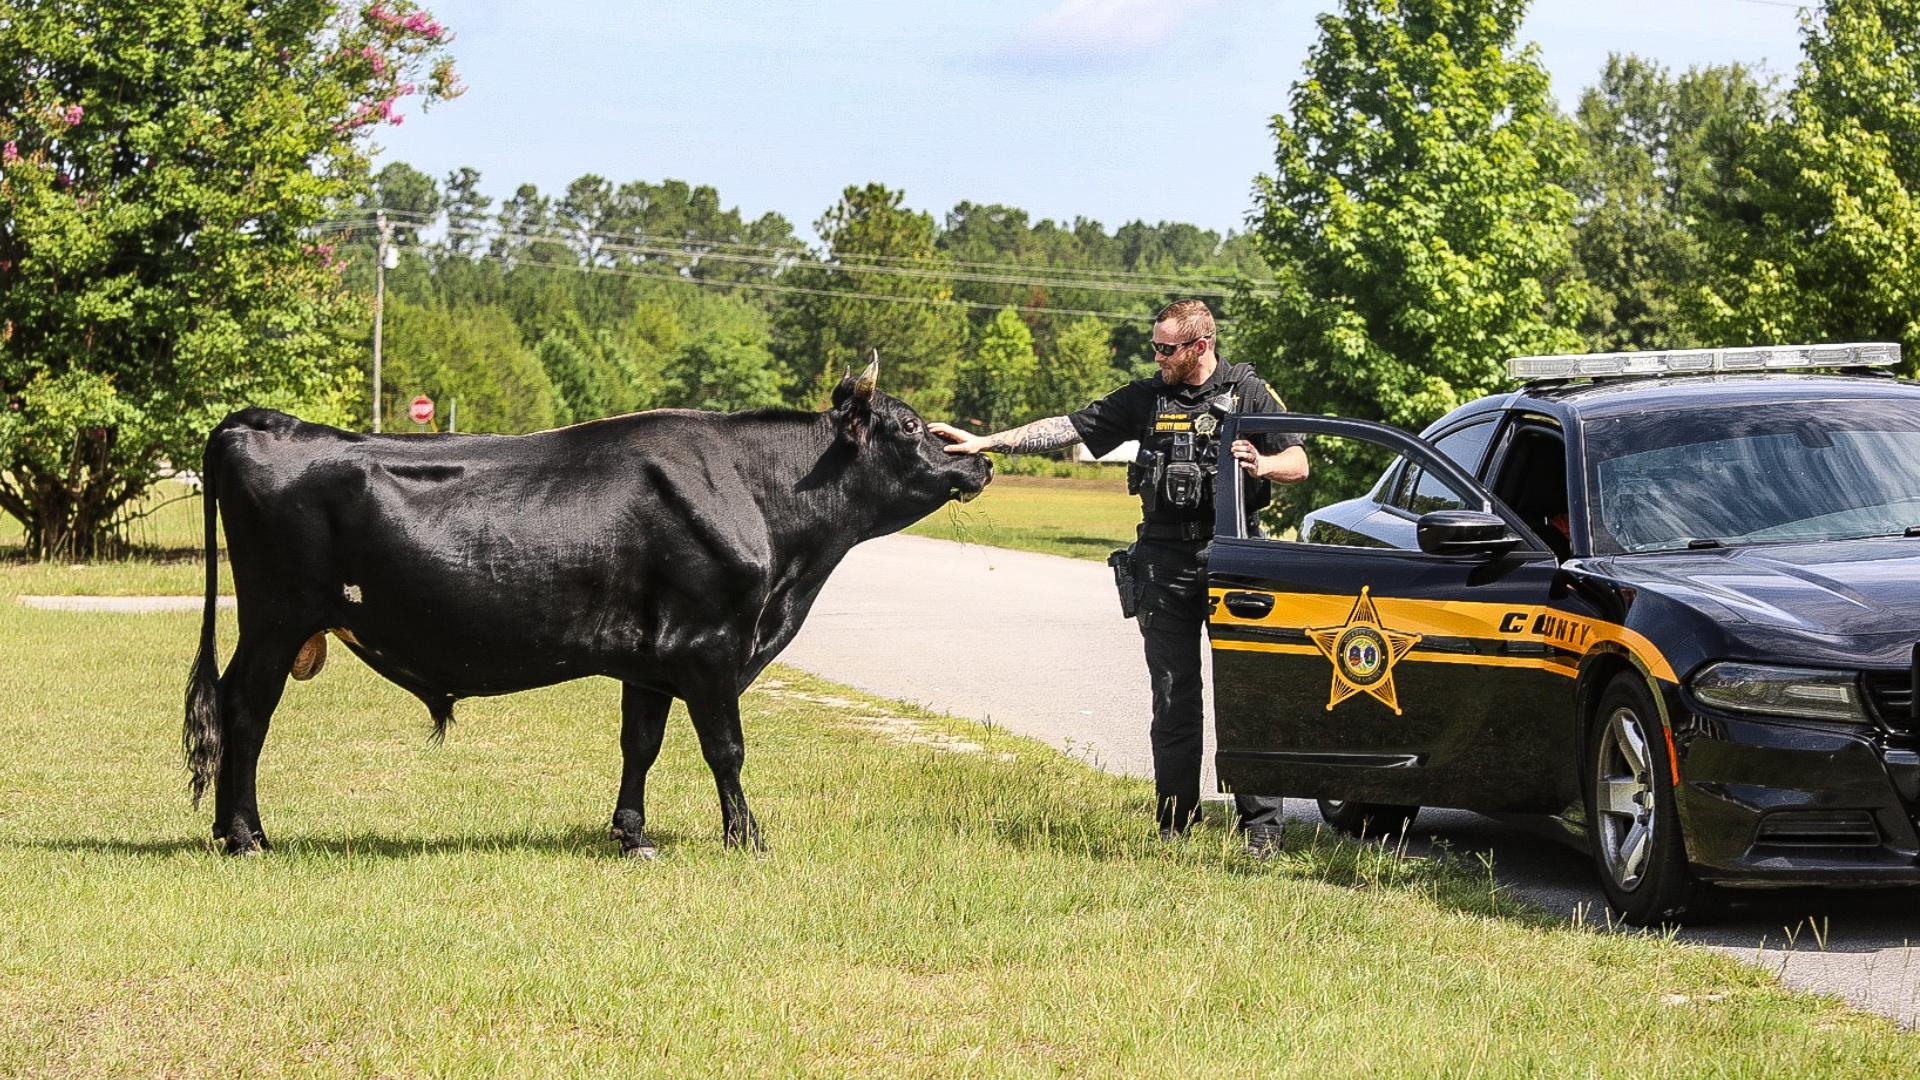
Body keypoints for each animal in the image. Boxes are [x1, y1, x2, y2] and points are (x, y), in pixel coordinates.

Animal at [182, 356, 991, 857]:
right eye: (909, 427)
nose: (980, 461)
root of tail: (262, 421)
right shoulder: (711, 646)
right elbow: (725, 748)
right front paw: (748, 838)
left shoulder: (654, 657)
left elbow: (641, 744)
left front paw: (631, 834)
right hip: (278, 618)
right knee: (245, 710)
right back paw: (247, 836)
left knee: (231, 703)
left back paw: (231, 831)